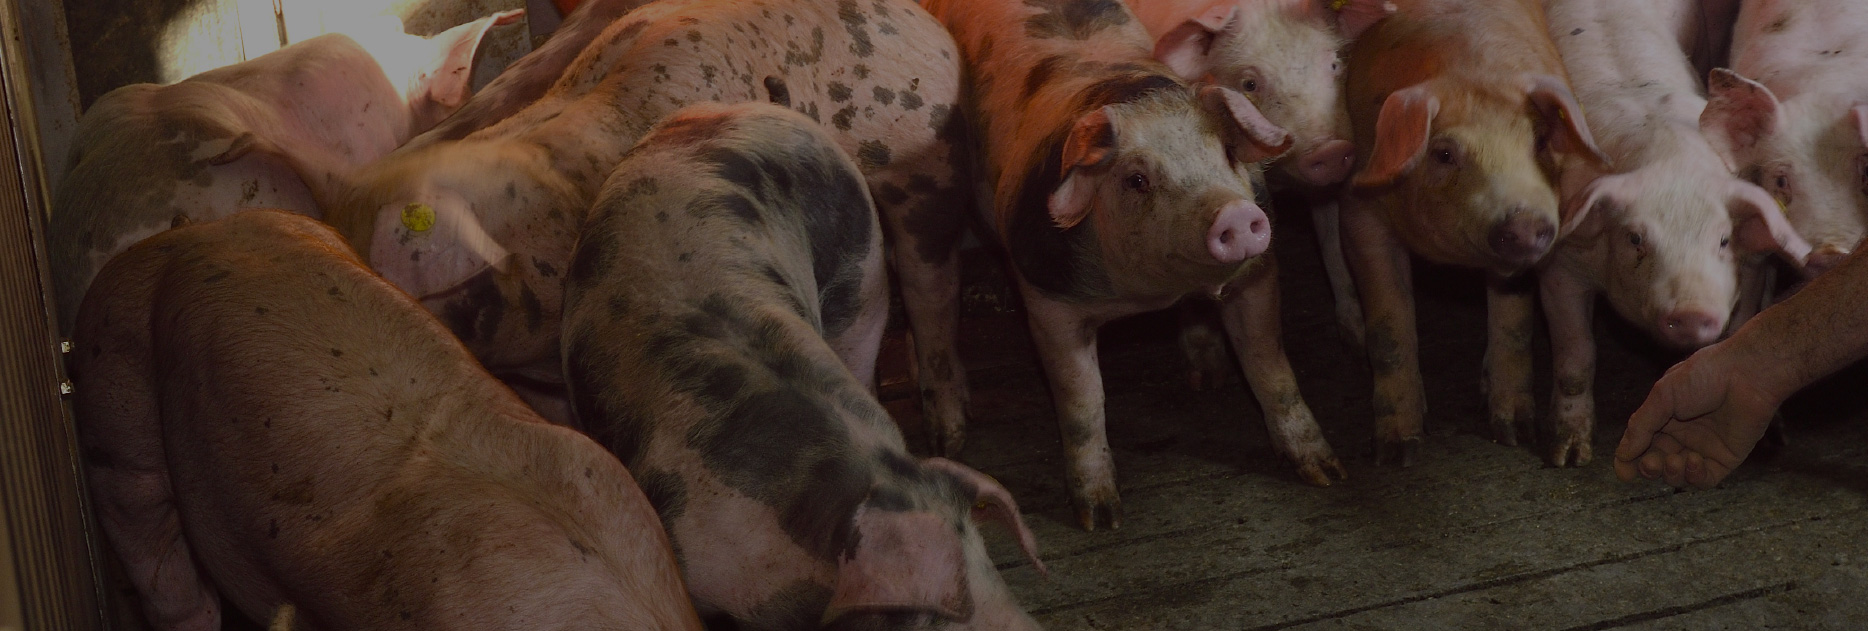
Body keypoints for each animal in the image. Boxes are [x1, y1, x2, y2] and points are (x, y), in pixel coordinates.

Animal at [920, 0, 1341, 531]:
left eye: (1227, 153)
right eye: (1136, 179)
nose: (1234, 214)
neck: (1145, 295)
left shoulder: (1257, 276)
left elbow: (1270, 366)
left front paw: (1328, 474)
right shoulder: (1048, 299)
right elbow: (1082, 401)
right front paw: (1099, 519)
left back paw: (1206, 378)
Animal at [1340, 0, 1609, 465]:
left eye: (1540, 141)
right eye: (1444, 153)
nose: (1525, 223)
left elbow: (1515, 325)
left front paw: (1516, 434)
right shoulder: (1360, 209)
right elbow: (1389, 331)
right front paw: (1398, 454)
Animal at [1537, 0, 1810, 467]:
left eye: (1723, 240)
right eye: (1635, 239)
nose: (1692, 311)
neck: (1669, 159)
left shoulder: (1751, 268)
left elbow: (1741, 330)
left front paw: (1769, 442)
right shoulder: (1562, 267)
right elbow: (1576, 358)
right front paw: (1569, 457)